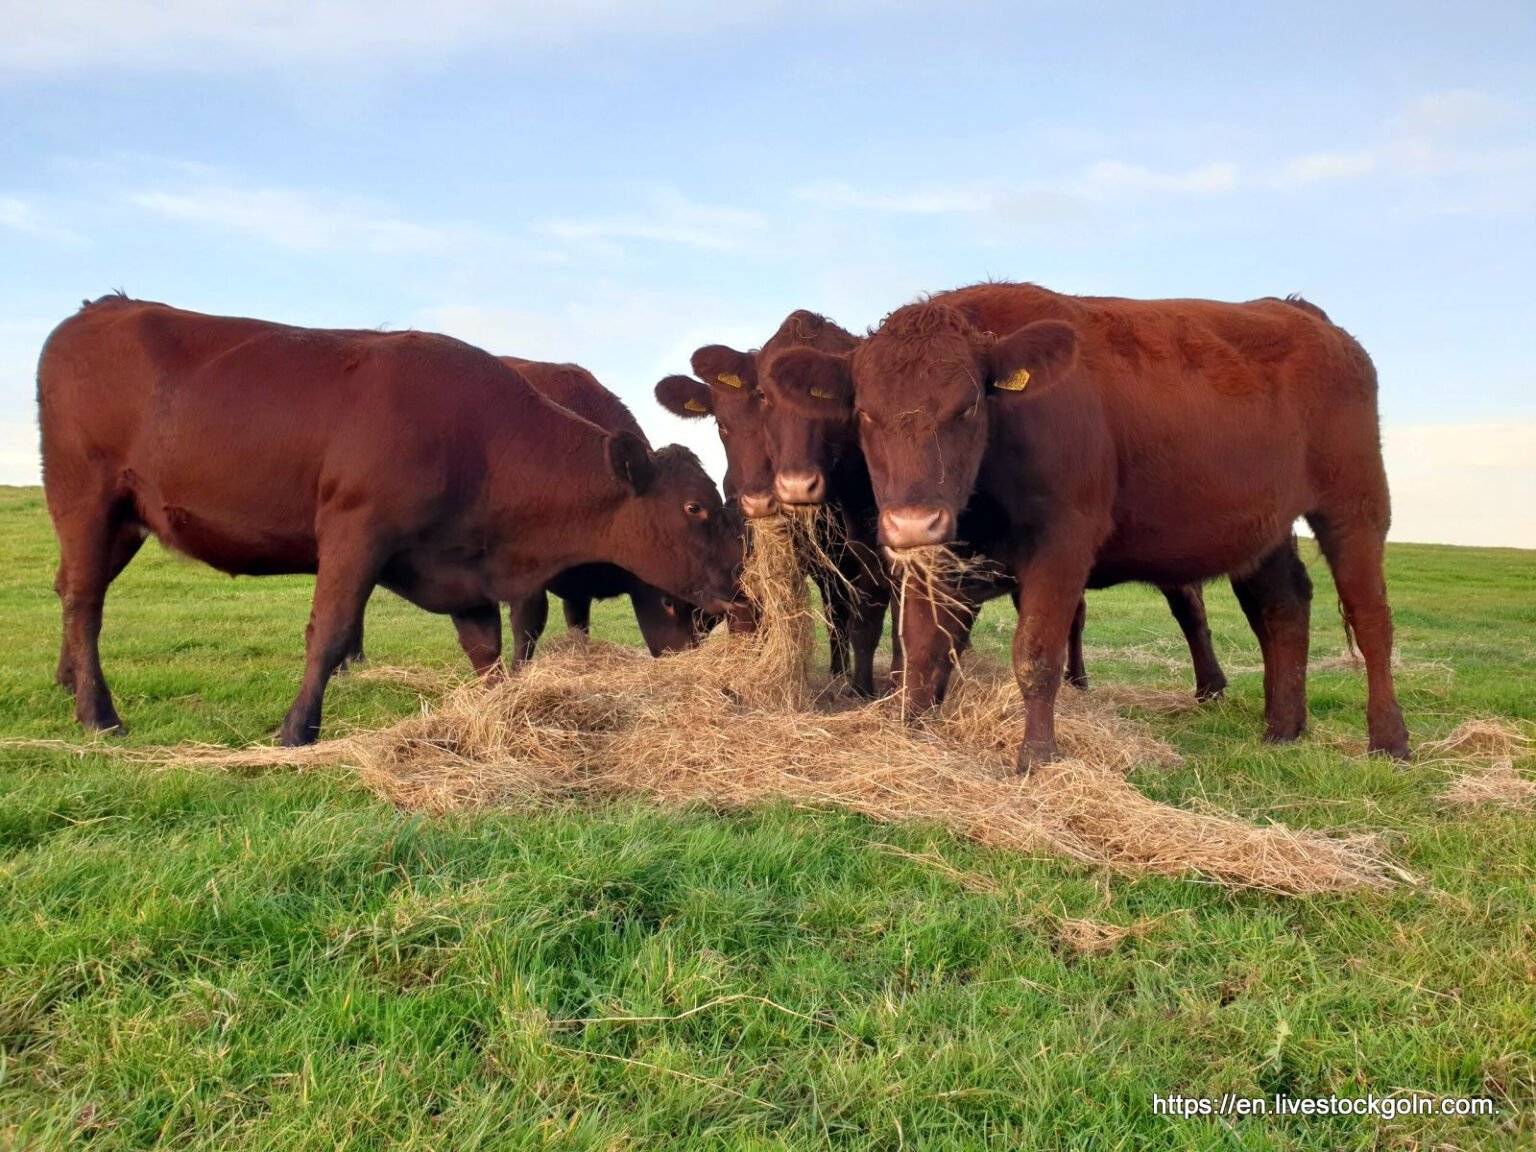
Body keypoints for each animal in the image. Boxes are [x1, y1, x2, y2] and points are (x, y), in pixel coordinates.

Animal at [39, 295, 740, 745]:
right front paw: (297, 730)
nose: (737, 591)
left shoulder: (467, 566)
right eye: (696, 508)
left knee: (72, 590)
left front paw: (495, 712)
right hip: (85, 500)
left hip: (123, 522)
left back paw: (67, 683)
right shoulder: (356, 530)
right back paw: (99, 715)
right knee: (85, 601)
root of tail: (101, 307)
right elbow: (330, 631)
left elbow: (488, 650)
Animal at [769, 283, 1408, 769]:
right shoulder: (945, 558)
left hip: (1355, 504)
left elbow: (1036, 654)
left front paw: (1037, 755)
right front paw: (914, 737)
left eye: (969, 406)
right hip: (1264, 526)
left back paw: (1389, 740)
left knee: (1371, 618)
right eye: (864, 413)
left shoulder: (1063, 545)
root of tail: (1301, 312)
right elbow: (924, 651)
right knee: (1282, 607)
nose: (912, 520)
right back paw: (1283, 727)